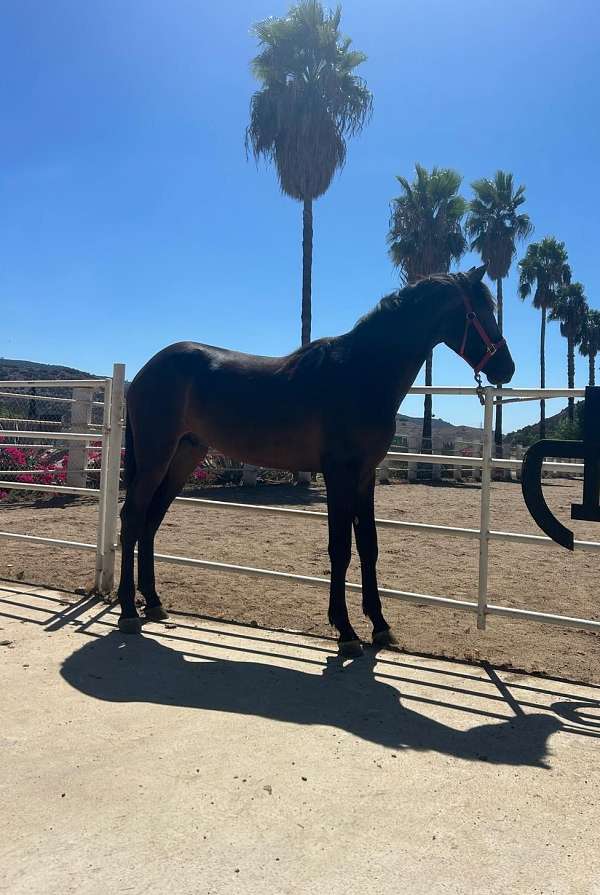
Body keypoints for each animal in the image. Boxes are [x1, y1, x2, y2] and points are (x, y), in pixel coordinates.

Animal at [116, 265, 515, 655]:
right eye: (478, 312)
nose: (506, 368)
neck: (361, 373)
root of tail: (145, 371)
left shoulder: (365, 475)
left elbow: (368, 545)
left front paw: (380, 626)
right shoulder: (339, 473)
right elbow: (340, 549)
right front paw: (346, 631)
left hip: (184, 455)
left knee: (151, 520)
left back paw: (153, 602)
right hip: (156, 456)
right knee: (133, 517)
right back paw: (128, 611)